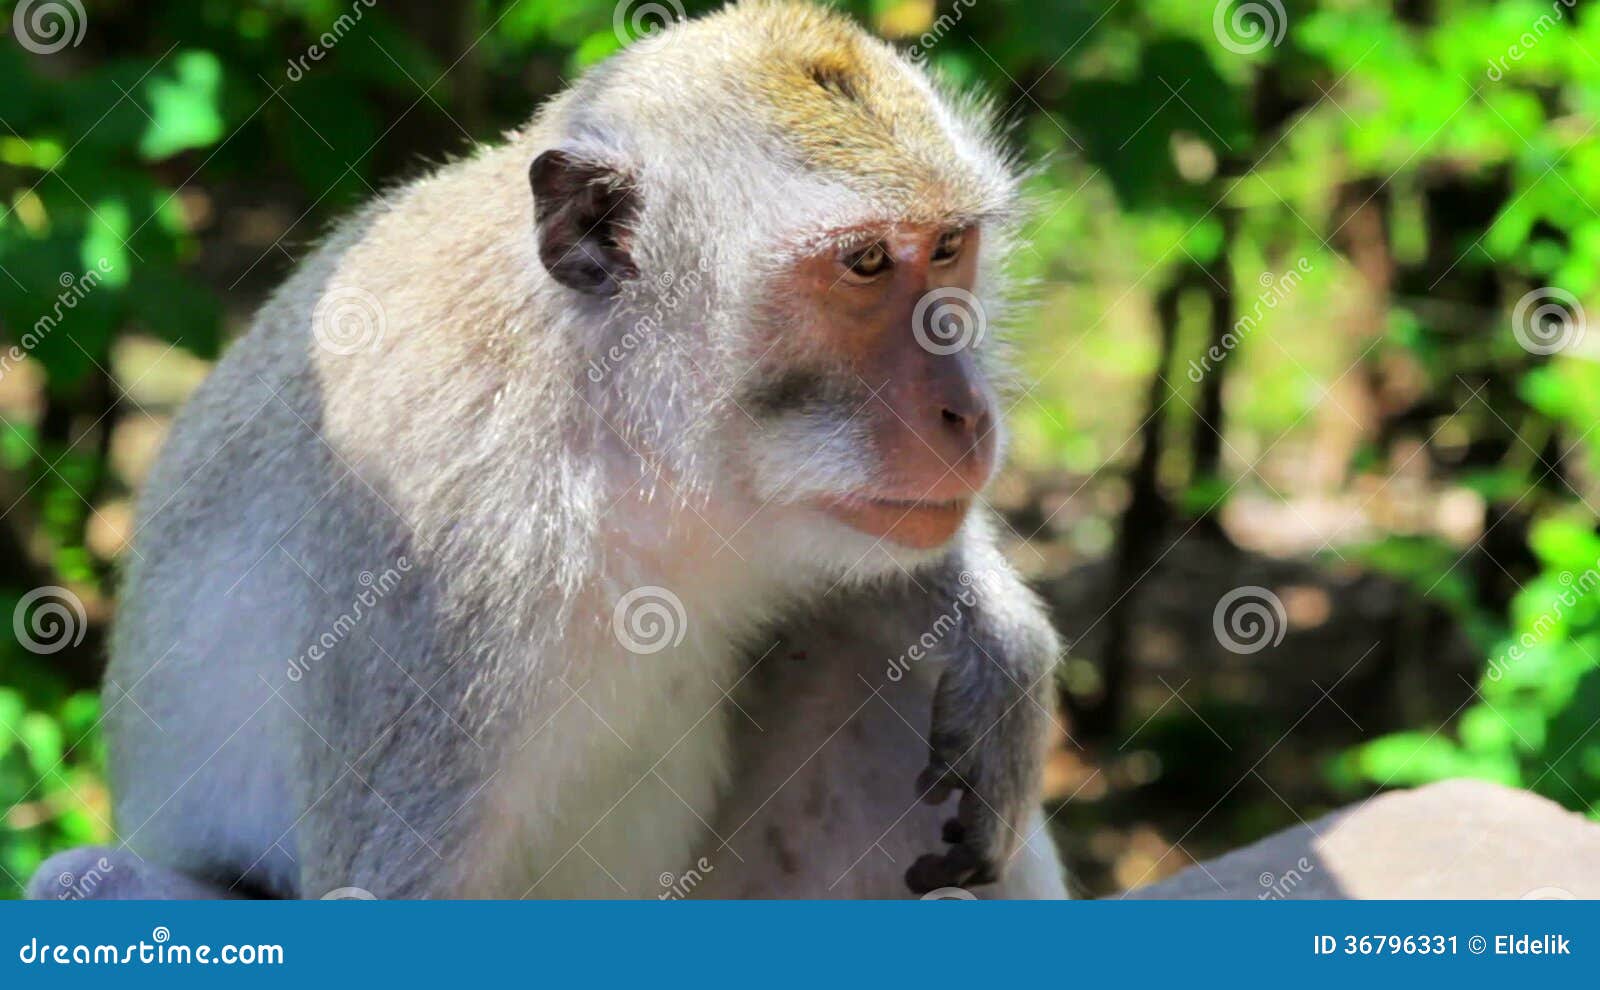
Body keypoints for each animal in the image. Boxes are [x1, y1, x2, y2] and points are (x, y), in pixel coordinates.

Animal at [28, 0, 1065, 900]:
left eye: (948, 248)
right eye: (865, 264)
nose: (966, 414)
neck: (616, 430)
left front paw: (995, 636)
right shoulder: (441, 580)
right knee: (84, 880)